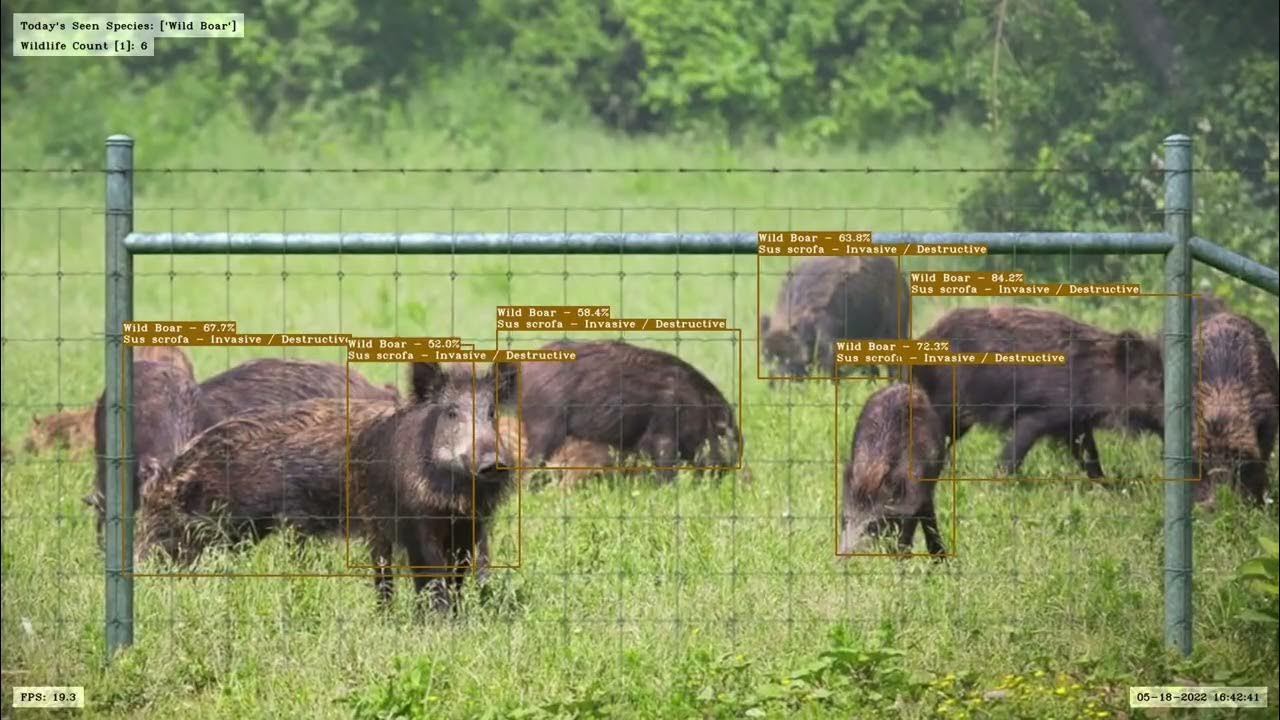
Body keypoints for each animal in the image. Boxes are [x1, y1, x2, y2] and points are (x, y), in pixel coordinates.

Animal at [911, 306, 1164, 479]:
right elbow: (1013, 454)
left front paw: (1105, 486)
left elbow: (1090, 457)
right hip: (945, 404)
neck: (1094, 376)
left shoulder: (1076, 425)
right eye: (1153, 379)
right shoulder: (1036, 414)